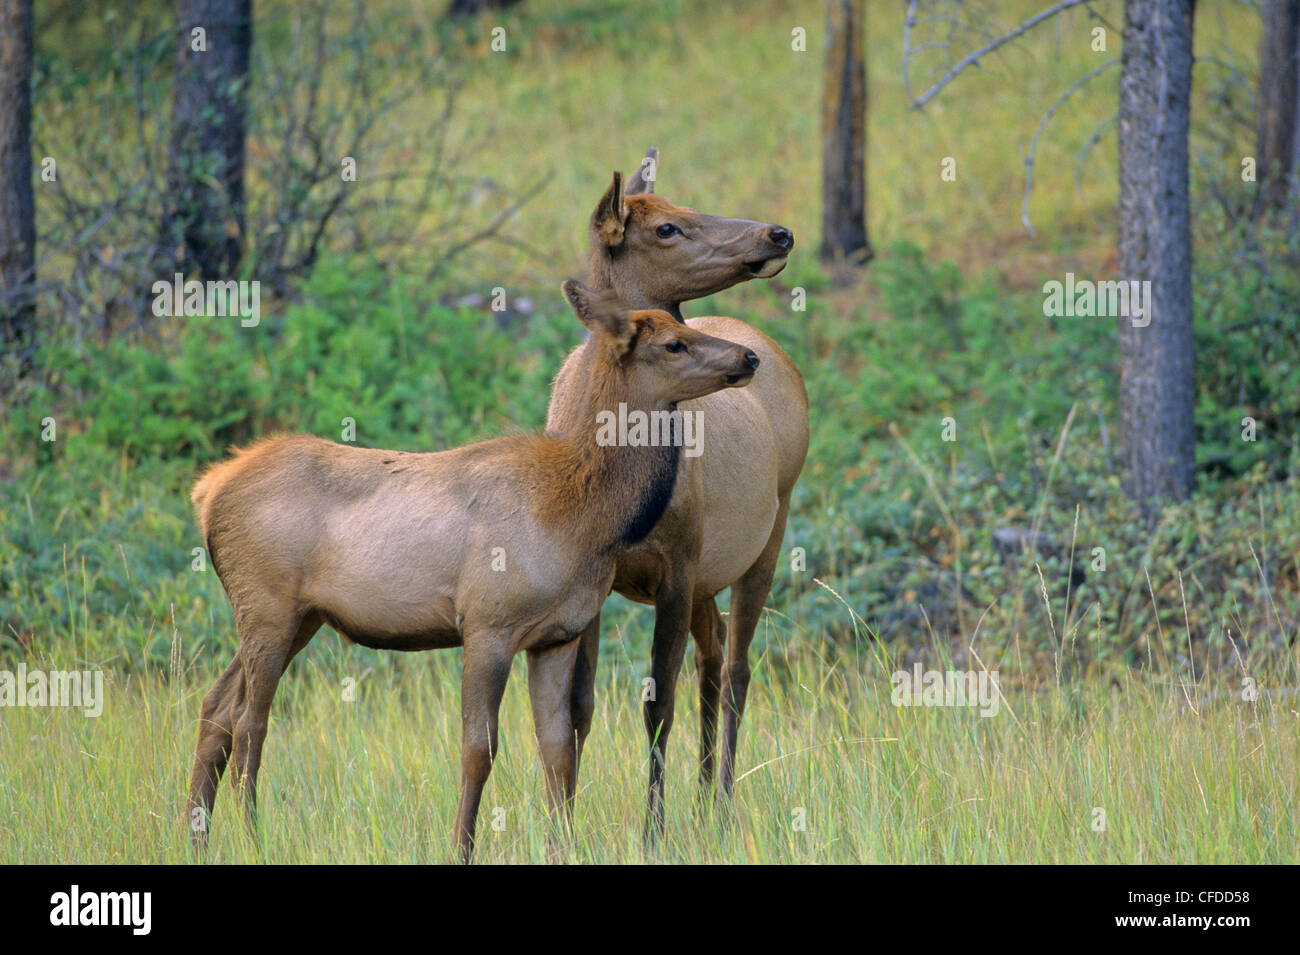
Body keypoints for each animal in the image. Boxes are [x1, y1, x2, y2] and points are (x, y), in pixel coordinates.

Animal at [184, 280, 760, 863]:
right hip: (268, 605)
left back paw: (195, 838)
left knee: (217, 707)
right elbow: (478, 750)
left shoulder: (558, 635)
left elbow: (558, 748)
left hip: (299, 617)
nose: (749, 356)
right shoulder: (488, 624)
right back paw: (254, 838)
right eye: (673, 343)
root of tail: (206, 493)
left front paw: (563, 848)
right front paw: (461, 847)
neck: (583, 518)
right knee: (250, 723)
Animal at [546, 149, 810, 842]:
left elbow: (656, 702)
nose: (778, 233)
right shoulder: (592, 571)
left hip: (768, 533)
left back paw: (721, 805)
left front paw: (653, 830)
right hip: (709, 576)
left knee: (736, 667)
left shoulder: (677, 564)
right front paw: (564, 824)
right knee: (712, 654)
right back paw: (704, 799)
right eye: (666, 227)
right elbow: (578, 707)